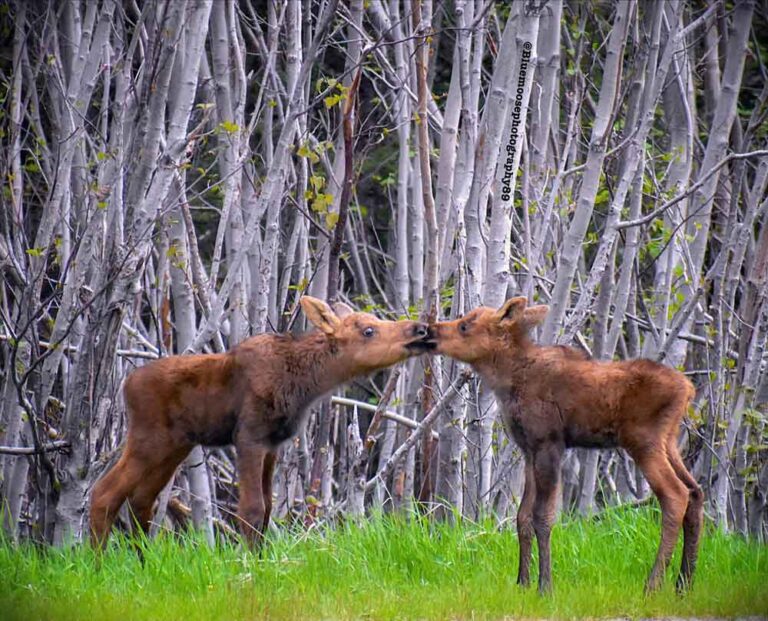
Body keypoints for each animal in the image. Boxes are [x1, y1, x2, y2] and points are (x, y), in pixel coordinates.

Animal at [89, 296, 433, 549]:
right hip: (148, 440)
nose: (419, 329)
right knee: (104, 492)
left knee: (140, 500)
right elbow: (251, 510)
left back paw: (143, 561)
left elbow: (268, 508)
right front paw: (249, 563)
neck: (302, 384)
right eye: (368, 331)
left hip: (174, 447)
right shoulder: (249, 437)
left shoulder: (273, 444)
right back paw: (97, 564)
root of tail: (125, 385)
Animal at [429, 297, 703, 594]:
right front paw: (522, 582)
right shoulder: (529, 450)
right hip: (668, 441)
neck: (507, 381)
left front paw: (545, 585)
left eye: (465, 326)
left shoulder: (549, 444)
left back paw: (653, 584)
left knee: (676, 494)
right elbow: (522, 517)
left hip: (643, 441)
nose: (431, 331)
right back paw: (684, 583)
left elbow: (543, 517)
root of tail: (689, 389)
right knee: (695, 491)